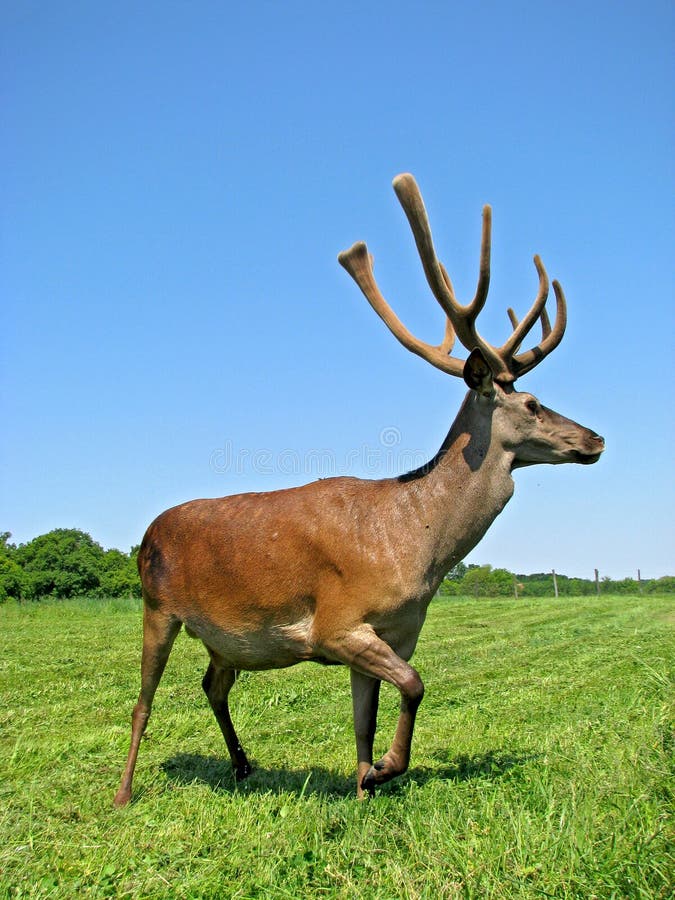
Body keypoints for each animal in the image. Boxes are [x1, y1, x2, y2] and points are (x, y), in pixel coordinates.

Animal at [114, 174, 604, 807]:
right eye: (533, 403)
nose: (595, 438)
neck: (418, 549)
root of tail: (146, 532)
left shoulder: (398, 631)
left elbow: (363, 720)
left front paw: (365, 785)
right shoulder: (337, 622)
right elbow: (415, 685)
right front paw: (387, 770)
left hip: (227, 640)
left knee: (213, 684)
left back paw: (244, 766)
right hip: (157, 607)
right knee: (142, 703)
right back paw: (125, 792)